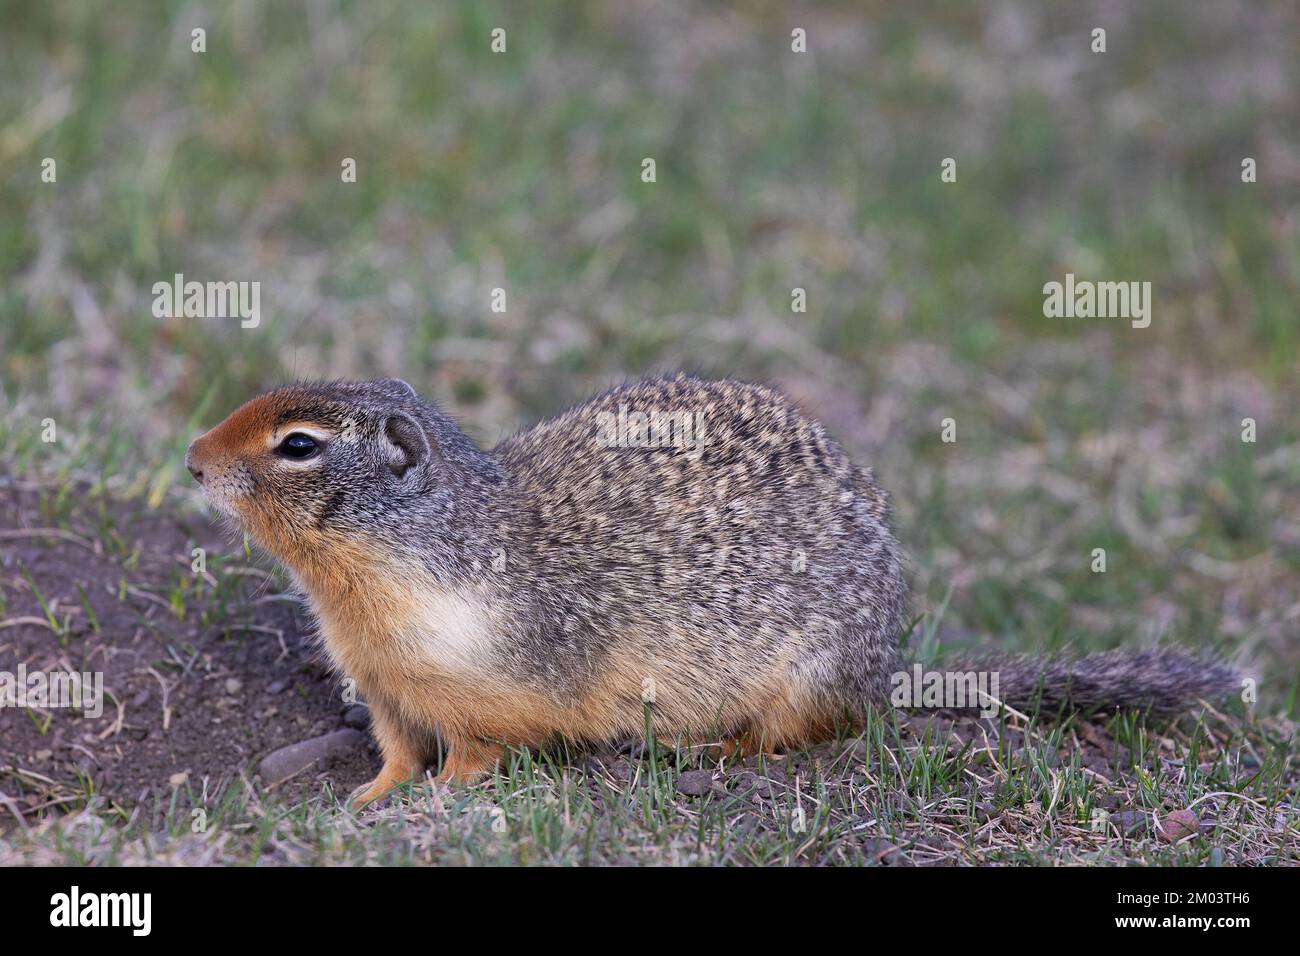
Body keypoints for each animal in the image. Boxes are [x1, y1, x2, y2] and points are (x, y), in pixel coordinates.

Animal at [185, 374, 1241, 807]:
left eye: (298, 444)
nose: (192, 458)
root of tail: (886, 666)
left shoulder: (487, 677)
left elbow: (481, 748)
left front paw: (441, 798)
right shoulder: (388, 687)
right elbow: (398, 749)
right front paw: (367, 797)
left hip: (805, 679)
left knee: (800, 734)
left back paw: (707, 748)